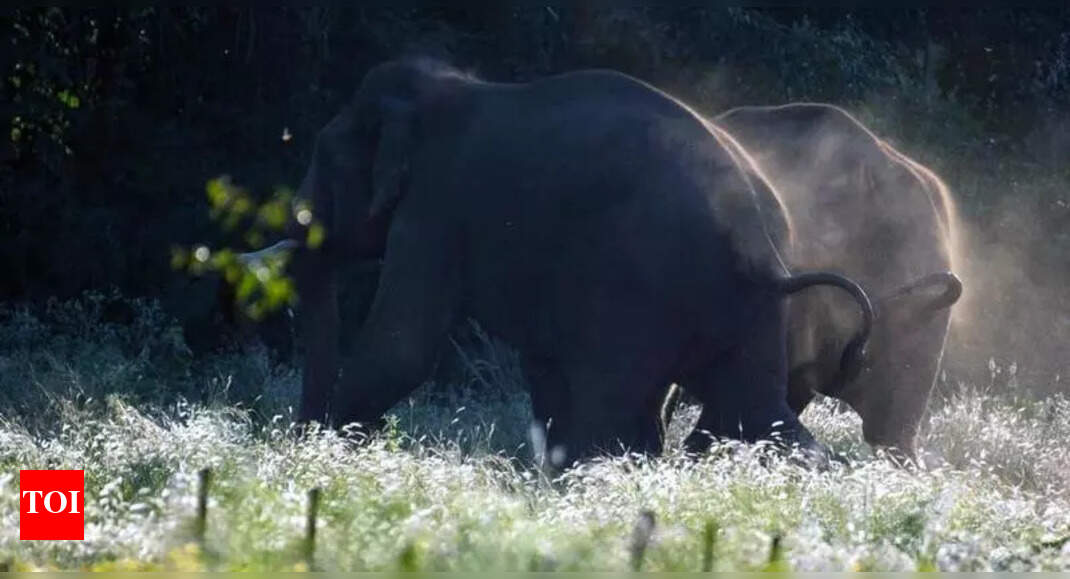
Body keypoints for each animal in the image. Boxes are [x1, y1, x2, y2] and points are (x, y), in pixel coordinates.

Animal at [255, 59, 876, 465]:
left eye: (322, 157)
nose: (299, 439)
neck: (443, 89)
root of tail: (763, 253)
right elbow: (543, 367)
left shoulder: (435, 205)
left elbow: (402, 348)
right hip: (747, 310)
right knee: (751, 406)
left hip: (644, 289)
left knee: (617, 404)